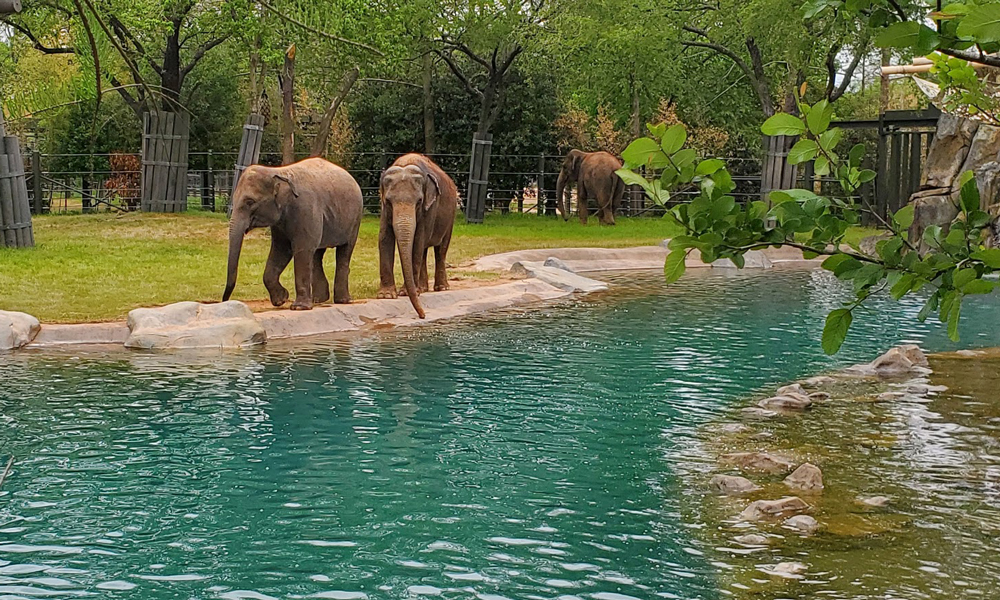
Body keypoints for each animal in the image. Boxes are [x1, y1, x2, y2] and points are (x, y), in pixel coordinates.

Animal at [223, 157, 363, 311]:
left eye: (250, 202)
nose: (224, 300)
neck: (277, 171)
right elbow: (281, 250)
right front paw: (281, 299)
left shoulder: (306, 208)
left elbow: (301, 249)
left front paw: (299, 307)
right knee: (317, 253)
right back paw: (318, 299)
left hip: (355, 219)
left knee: (344, 251)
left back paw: (342, 300)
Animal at [377, 154, 459, 319]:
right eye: (388, 201)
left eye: (419, 201)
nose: (423, 315)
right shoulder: (384, 210)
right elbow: (384, 239)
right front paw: (386, 296)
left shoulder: (430, 207)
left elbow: (418, 241)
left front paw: (405, 293)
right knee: (424, 251)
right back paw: (423, 288)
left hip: (451, 215)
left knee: (440, 250)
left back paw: (441, 288)